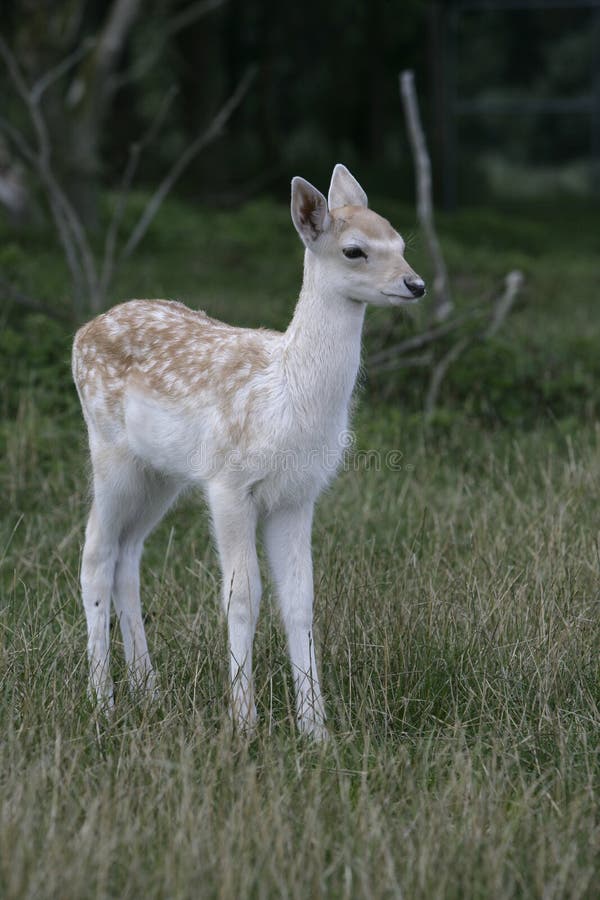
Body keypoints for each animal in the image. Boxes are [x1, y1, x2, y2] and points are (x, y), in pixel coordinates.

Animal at [72, 164, 425, 739]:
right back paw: (102, 702)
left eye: (399, 242)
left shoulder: (297, 495)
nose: (415, 284)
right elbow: (242, 597)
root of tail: (82, 331)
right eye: (354, 250)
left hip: (161, 475)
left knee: (129, 553)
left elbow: (299, 600)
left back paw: (149, 693)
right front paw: (244, 724)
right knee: (96, 552)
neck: (285, 397)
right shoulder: (228, 483)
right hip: (109, 450)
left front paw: (316, 731)